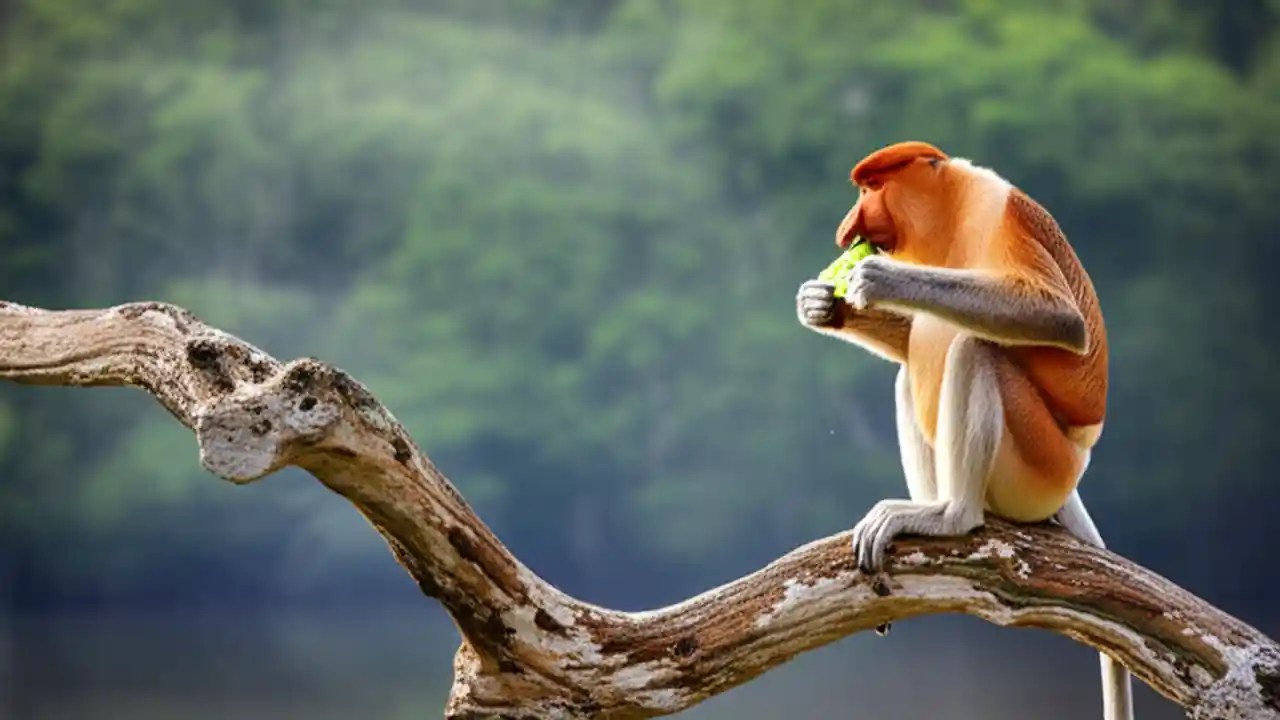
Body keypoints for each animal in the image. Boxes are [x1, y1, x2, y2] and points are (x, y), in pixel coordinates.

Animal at [795, 141, 1132, 720]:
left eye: (872, 188)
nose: (846, 232)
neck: (949, 216)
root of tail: (1073, 471)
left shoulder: (999, 215)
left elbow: (1061, 319)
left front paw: (876, 278)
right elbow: (912, 339)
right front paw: (821, 304)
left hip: (1041, 463)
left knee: (978, 350)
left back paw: (950, 515)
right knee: (908, 376)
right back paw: (926, 507)